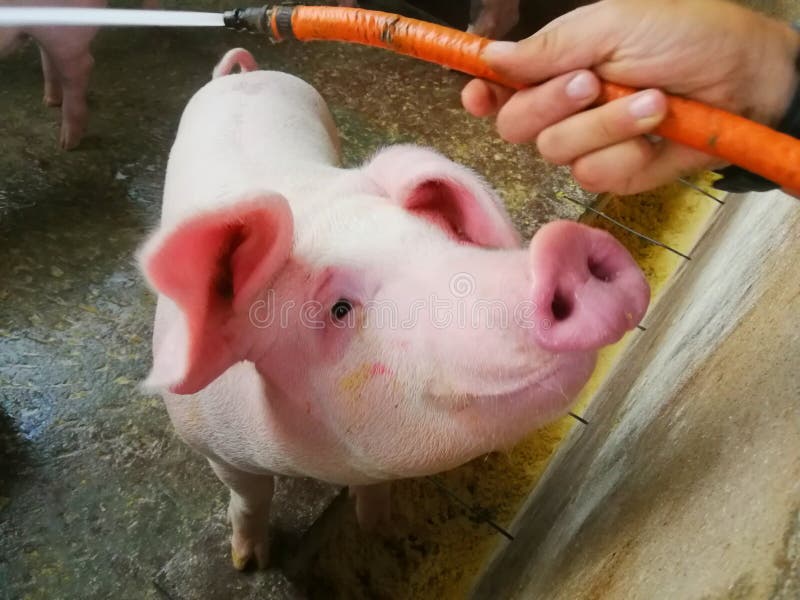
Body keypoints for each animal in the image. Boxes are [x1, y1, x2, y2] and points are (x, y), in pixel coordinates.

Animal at [138, 47, 649, 570]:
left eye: (446, 235)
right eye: (340, 309)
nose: (564, 246)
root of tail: (240, 77)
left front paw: (380, 528)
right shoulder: (213, 445)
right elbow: (250, 496)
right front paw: (248, 564)